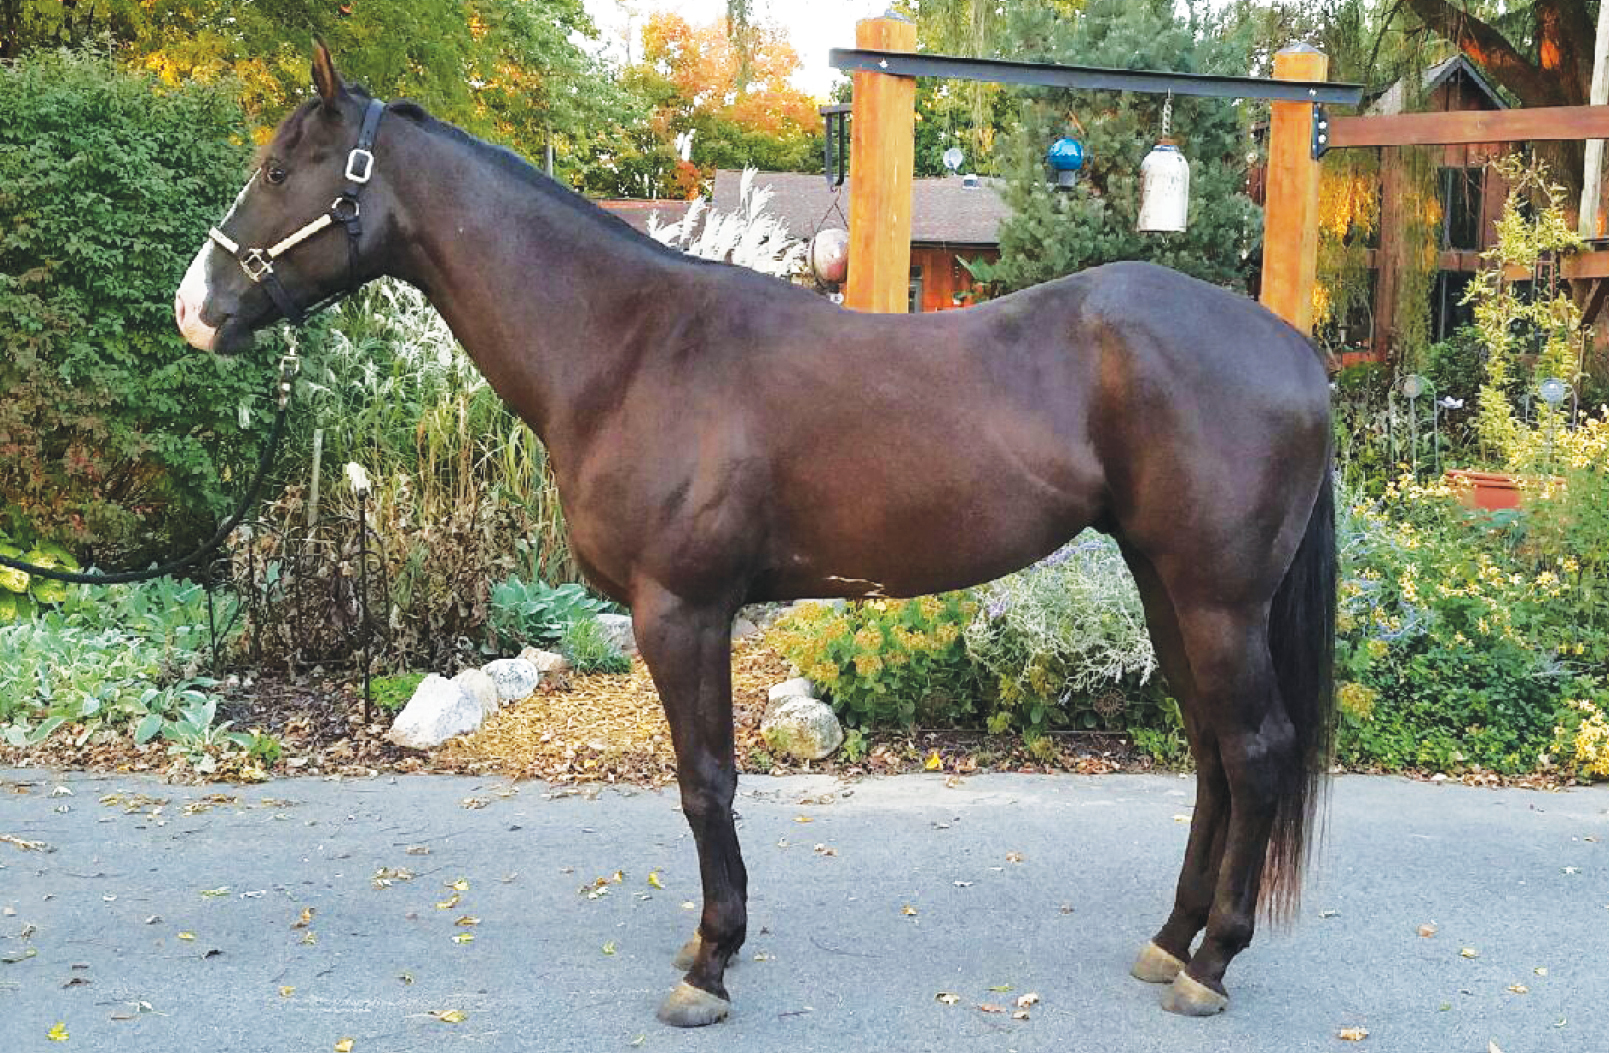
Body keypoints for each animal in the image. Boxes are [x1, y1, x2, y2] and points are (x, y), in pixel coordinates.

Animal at [174, 44, 1336, 1028]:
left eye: (280, 170)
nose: (196, 307)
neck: (631, 347)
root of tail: (1292, 351)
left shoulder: (681, 612)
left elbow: (705, 782)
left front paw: (709, 964)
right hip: (1165, 586)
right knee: (1212, 753)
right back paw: (1171, 938)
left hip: (1215, 599)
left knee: (1254, 750)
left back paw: (1211, 962)